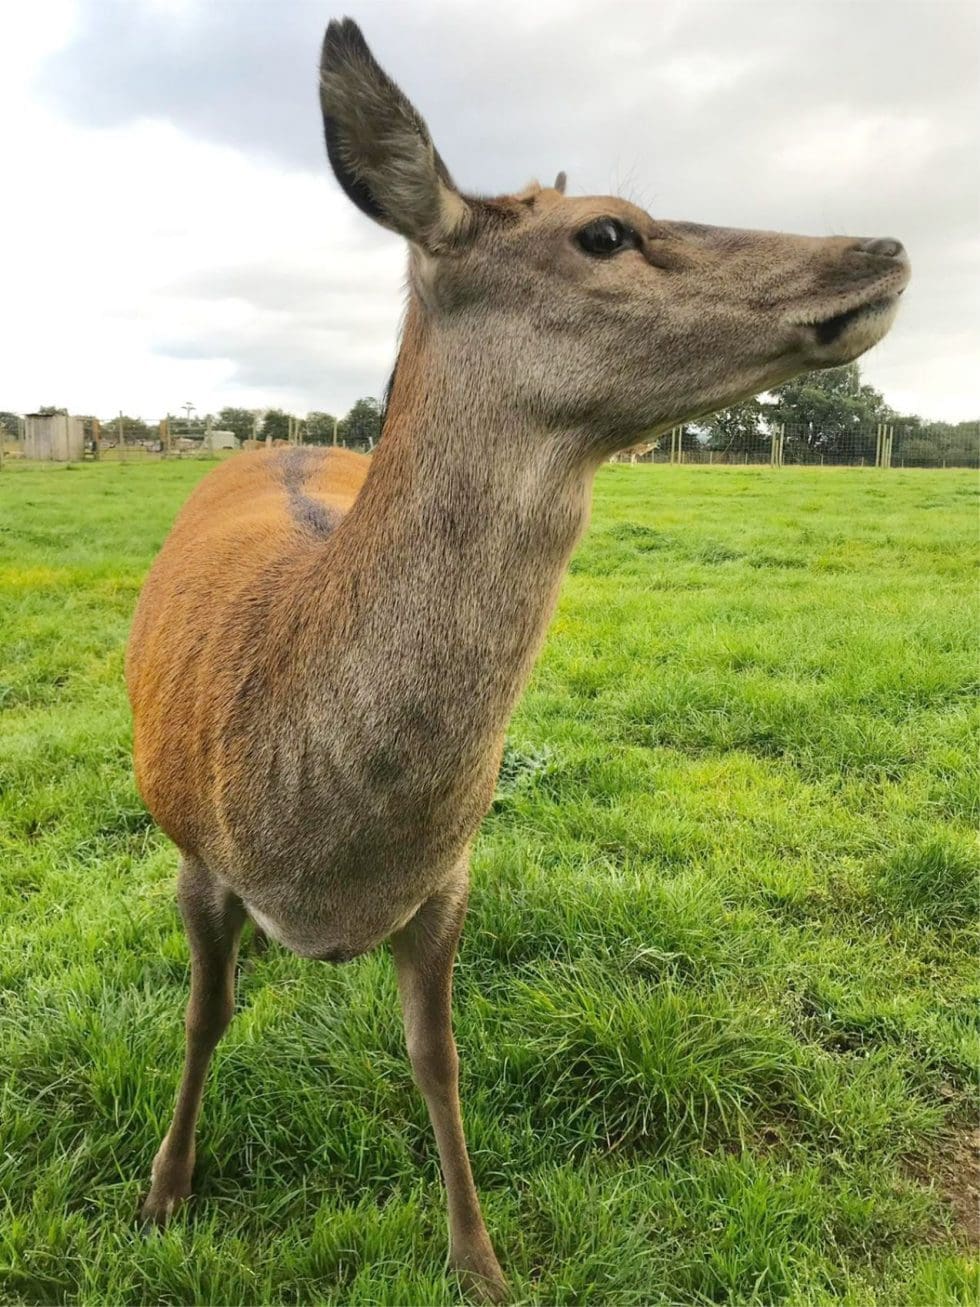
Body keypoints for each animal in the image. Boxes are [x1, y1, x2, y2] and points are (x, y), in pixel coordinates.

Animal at [126, 16, 909, 1301]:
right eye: (604, 230)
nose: (881, 244)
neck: (317, 839)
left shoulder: (451, 875)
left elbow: (437, 1057)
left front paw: (478, 1256)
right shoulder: (194, 849)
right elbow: (203, 1016)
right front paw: (162, 1190)